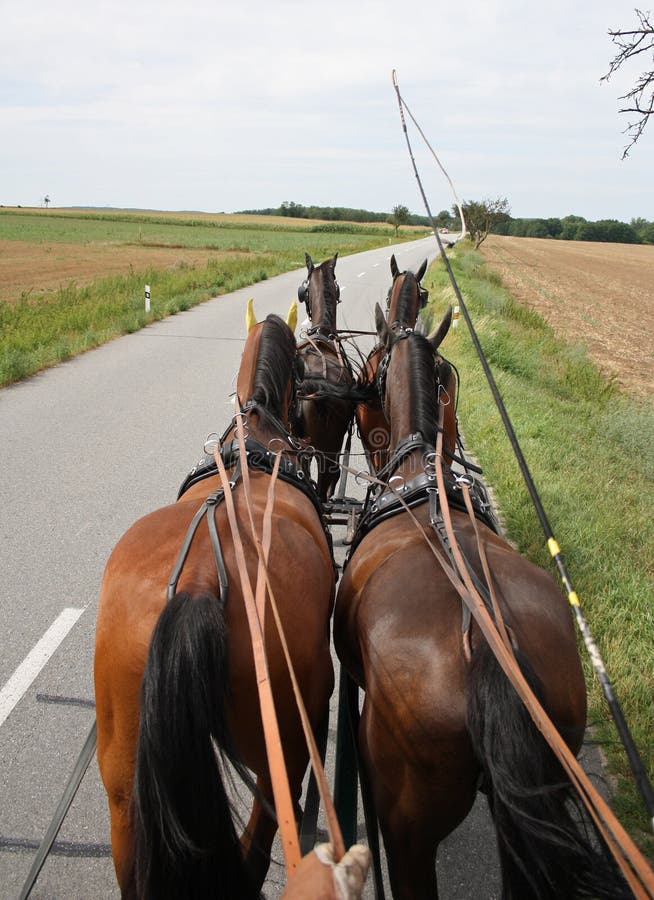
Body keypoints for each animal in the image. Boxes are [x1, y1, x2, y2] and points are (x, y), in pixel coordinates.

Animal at [94, 306, 336, 900]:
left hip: (124, 784)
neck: (257, 435)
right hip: (277, 754)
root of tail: (204, 578)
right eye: (302, 368)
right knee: (260, 844)